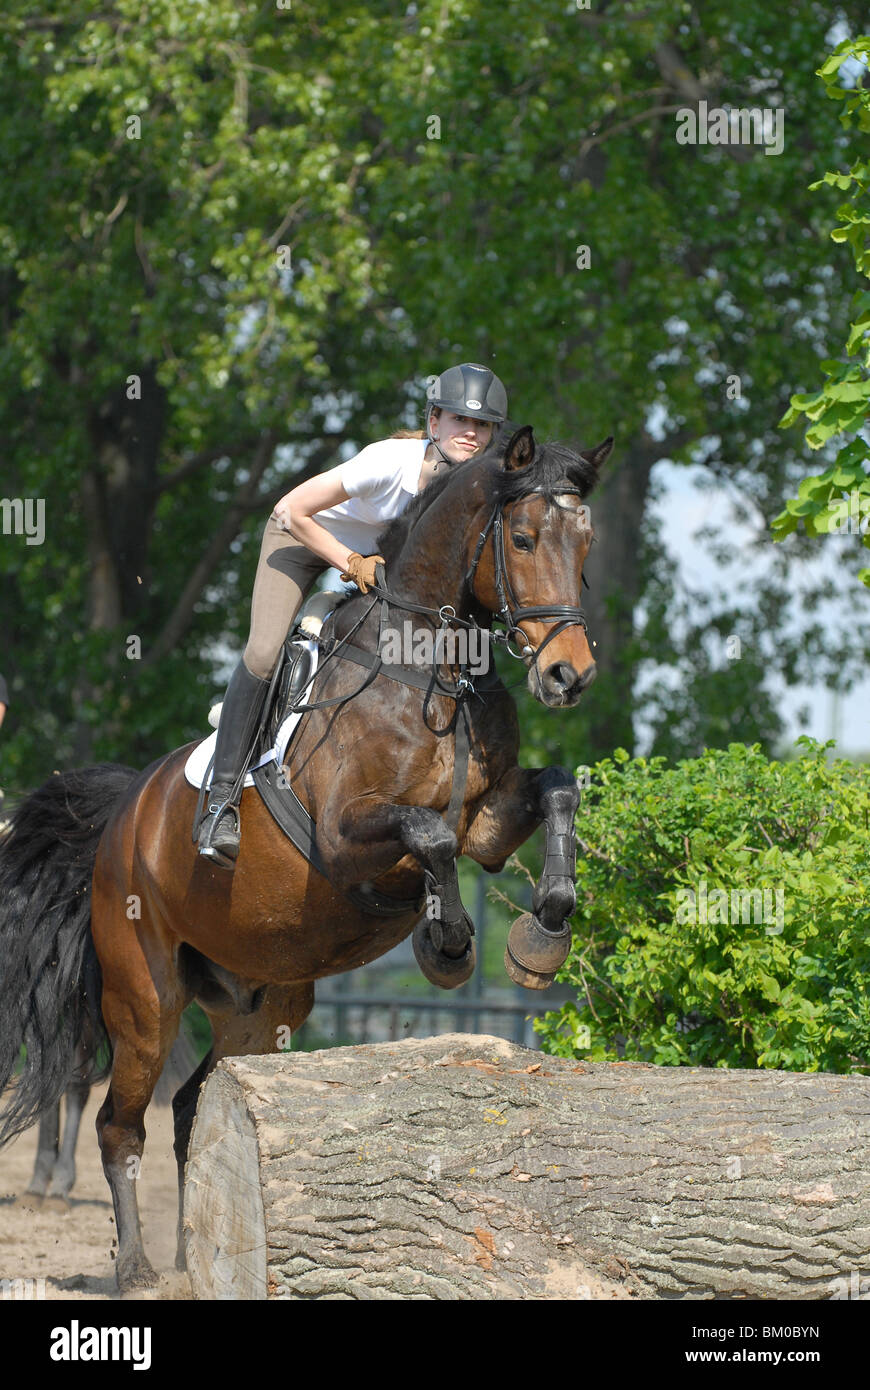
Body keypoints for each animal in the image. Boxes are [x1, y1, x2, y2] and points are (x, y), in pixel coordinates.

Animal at [0, 423, 612, 1293]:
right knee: (122, 1125)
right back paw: (140, 1269)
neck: (434, 669)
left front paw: (542, 938)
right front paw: (448, 945)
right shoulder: (347, 841)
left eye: (585, 542)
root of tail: (119, 817)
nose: (570, 675)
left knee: (194, 1107)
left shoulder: (487, 825)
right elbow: (428, 839)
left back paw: (193, 1258)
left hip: (263, 1000)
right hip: (144, 997)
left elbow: (556, 791)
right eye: (523, 538)